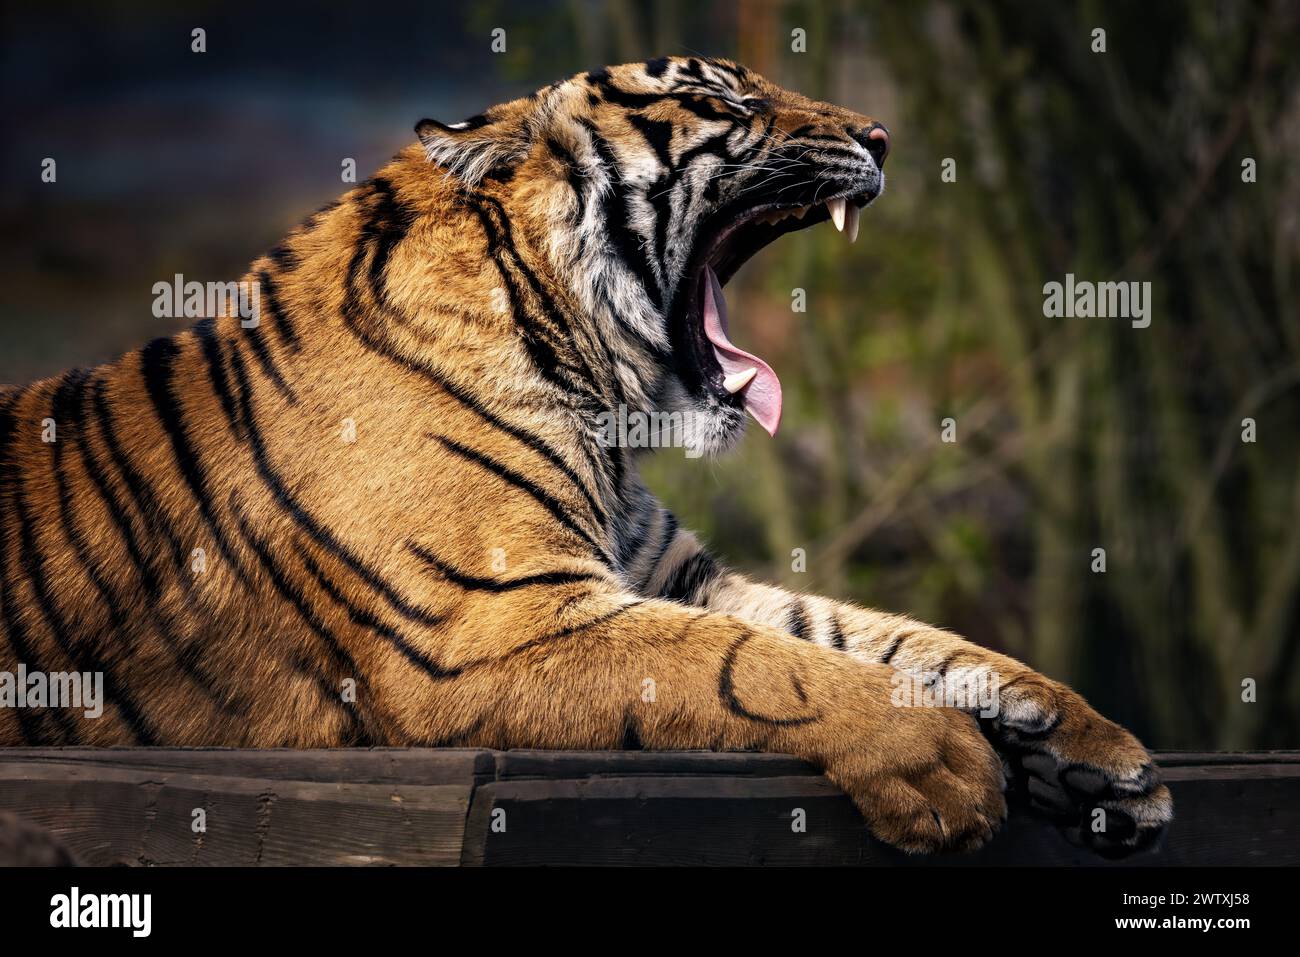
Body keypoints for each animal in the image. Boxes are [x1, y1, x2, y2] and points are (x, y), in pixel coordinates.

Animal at [0, 56, 1172, 856]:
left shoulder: (675, 576)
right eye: (735, 106)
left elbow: (886, 636)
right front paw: (942, 763)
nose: (882, 136)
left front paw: (1102, 752)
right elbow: (752, 664)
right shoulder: (493, 623)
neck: (585, 384)